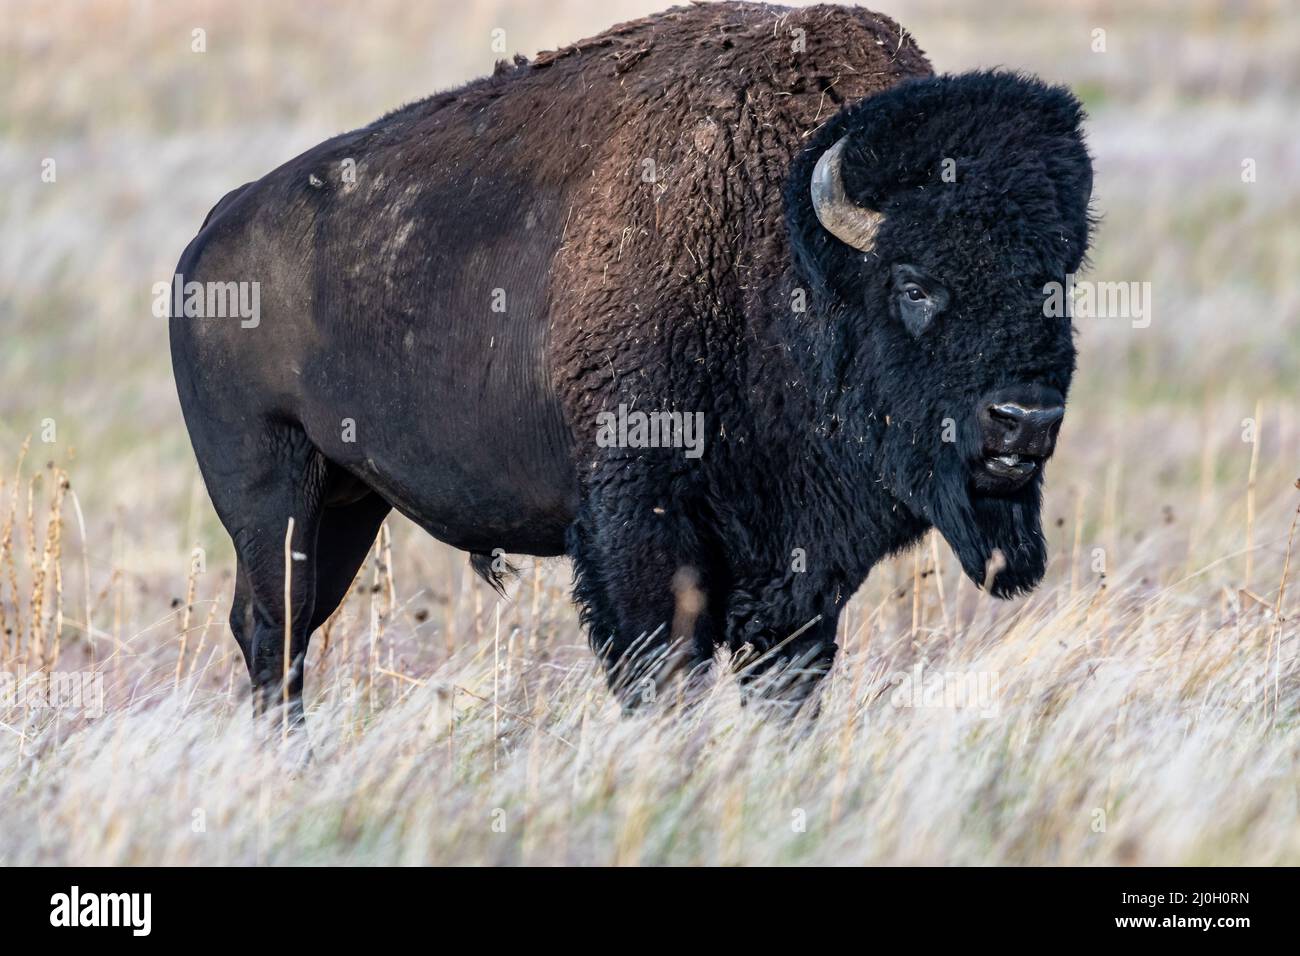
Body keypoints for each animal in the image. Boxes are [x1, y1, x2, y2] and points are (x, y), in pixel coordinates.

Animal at [170, 2, 1092, 729]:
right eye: (913, 283)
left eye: (1057, 279)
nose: (1024, 423)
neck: (781, 249)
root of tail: (212, 235)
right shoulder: (640, 522)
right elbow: (662, 671)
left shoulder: (797, 566)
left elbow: (785, 679)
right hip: (273, 494)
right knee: (273, 629)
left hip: (350, 503)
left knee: (289, 628)